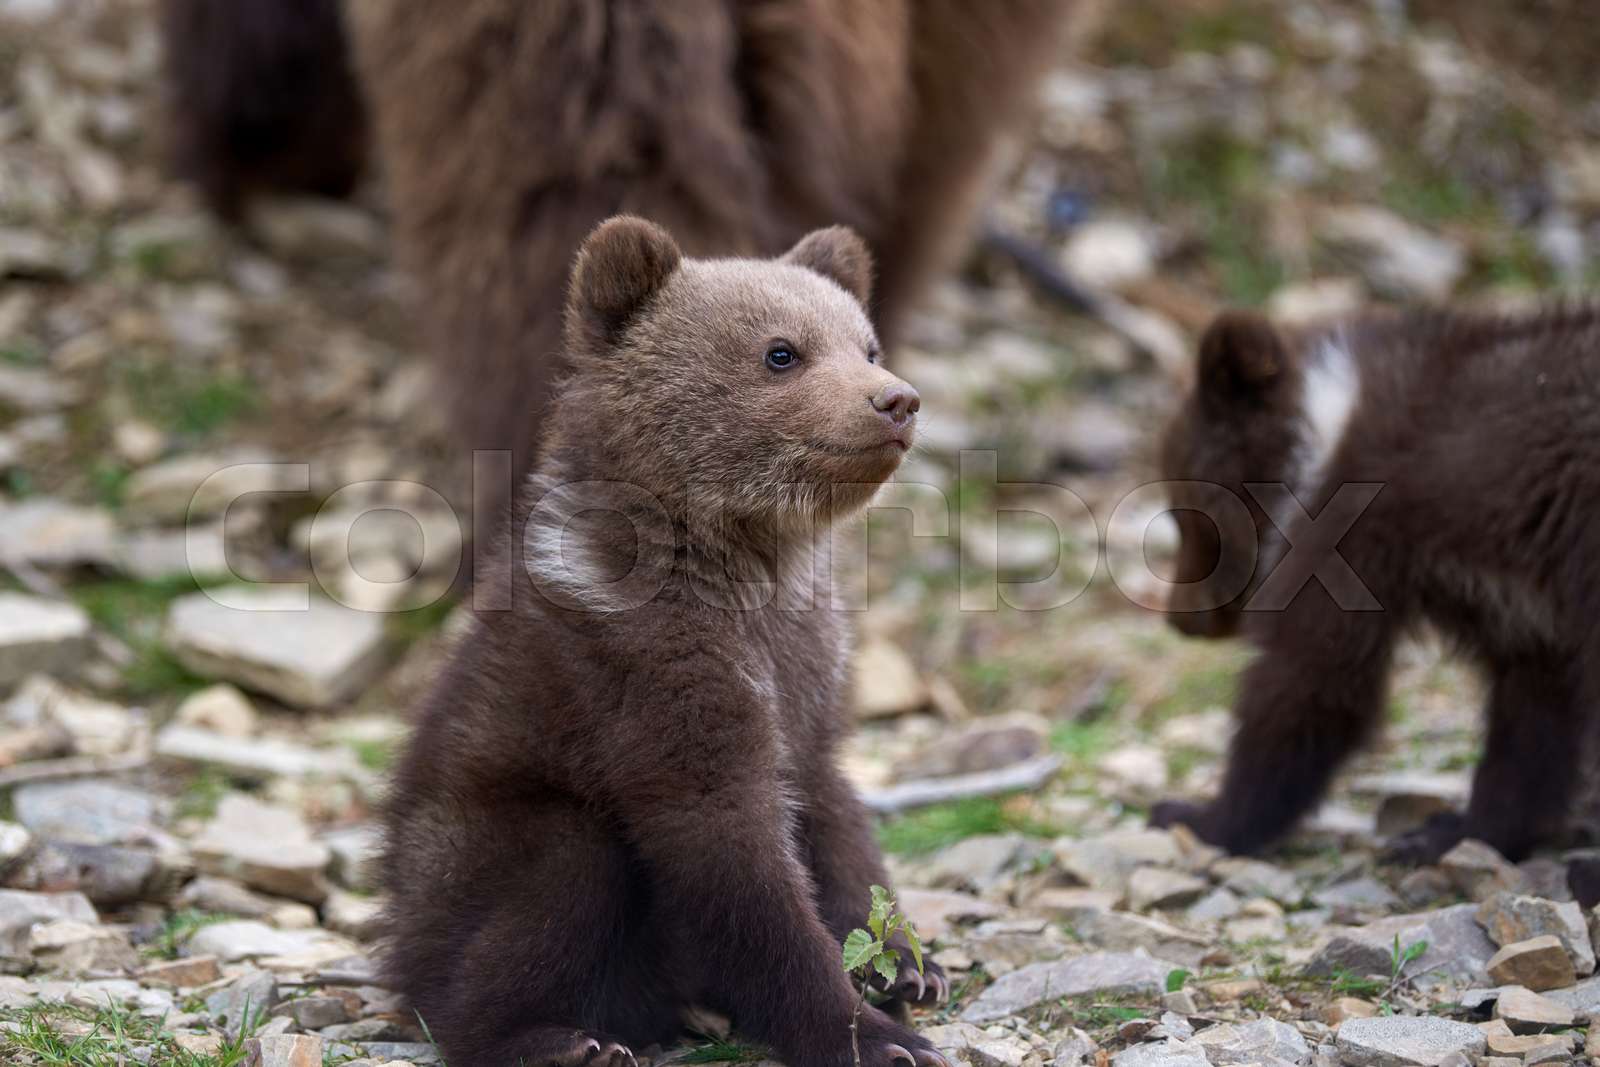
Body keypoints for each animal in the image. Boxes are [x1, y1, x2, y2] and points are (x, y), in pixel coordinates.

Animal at [379, 215, 950, 1067]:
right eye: (782, 351)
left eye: (869, 344)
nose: (896, 400)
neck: (740, 566)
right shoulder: (647, 669)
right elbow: (733, 858)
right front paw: (875, 1037)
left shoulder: (808, 673)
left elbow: (832, 814)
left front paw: (910, 964)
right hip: (474, 835)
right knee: (548, 881)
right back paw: (558, 1038)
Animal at [1148, 306, 1600, 864]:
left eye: (1181, 511)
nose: (1179, 617)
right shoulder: (1519, 607)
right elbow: (1534, 714)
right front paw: (1455, 831)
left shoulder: (1350, 530)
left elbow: (1312, 680)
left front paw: (1201, 817)